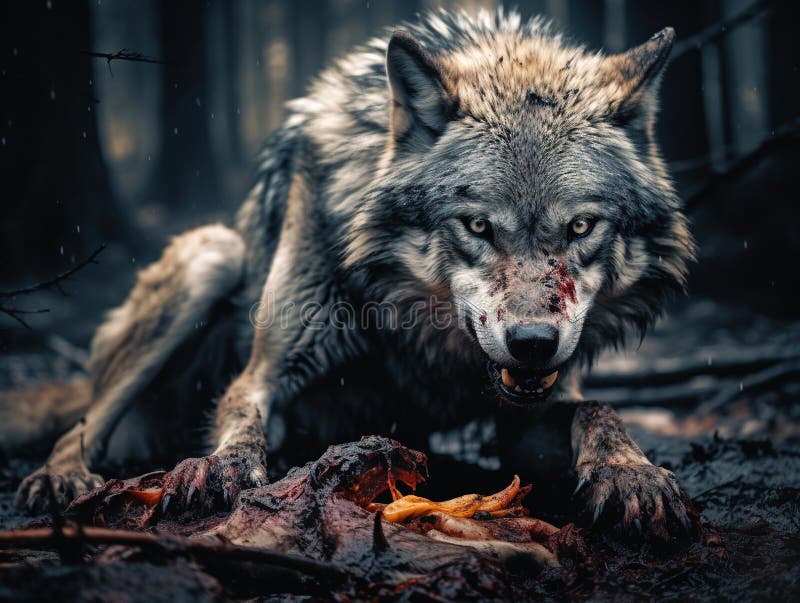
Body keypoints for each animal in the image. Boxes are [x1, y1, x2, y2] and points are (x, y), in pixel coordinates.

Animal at [13, 9, 694, 540]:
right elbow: (242, 412)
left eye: (580, 227)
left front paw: (632, 473)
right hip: (214, 255)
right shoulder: (268, 371)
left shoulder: (527, 415)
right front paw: (222, 465)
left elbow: (597, 409)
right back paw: (60, 478)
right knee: (84, 424)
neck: (423, 341)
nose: (532, 344)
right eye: (477, 225)